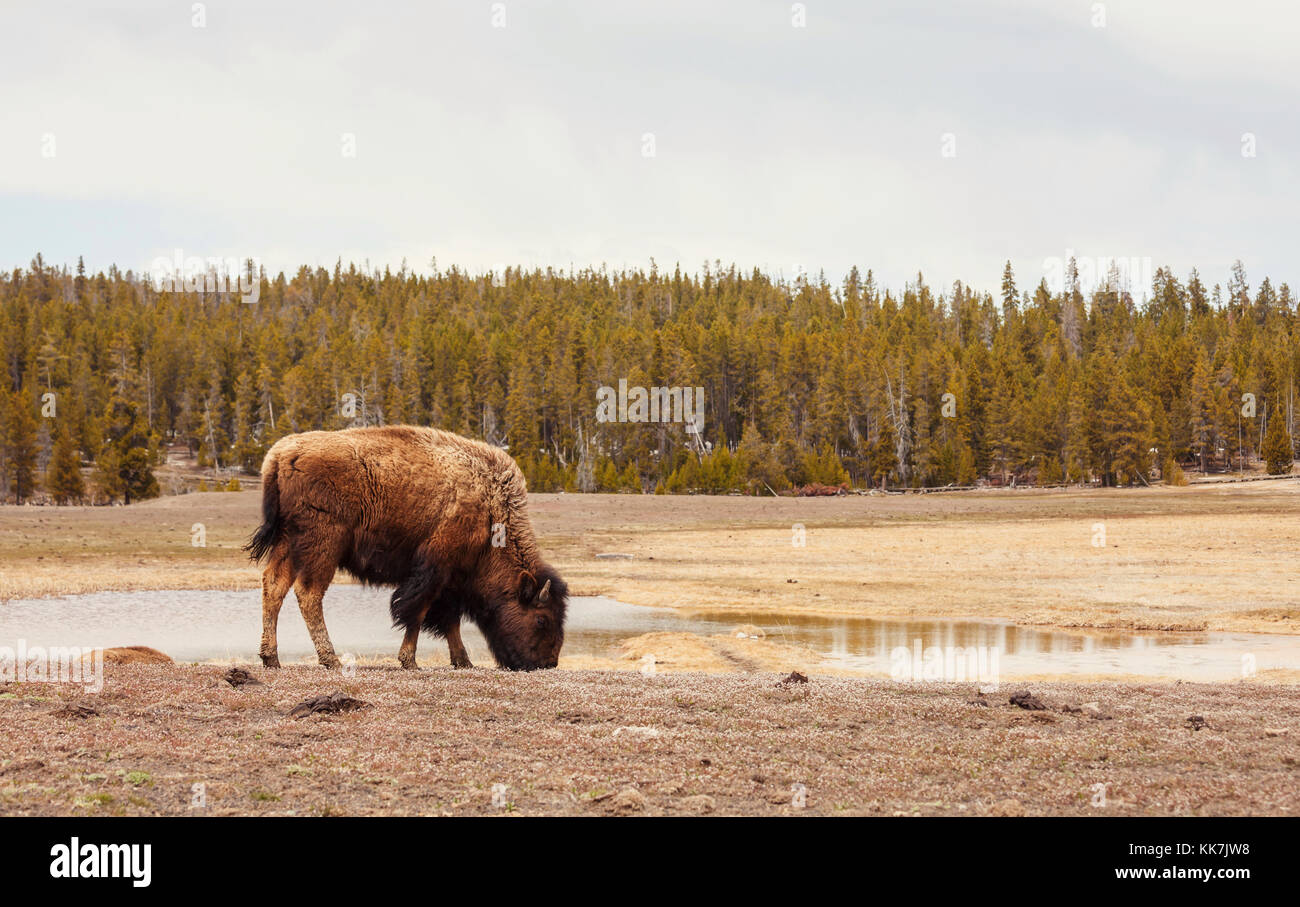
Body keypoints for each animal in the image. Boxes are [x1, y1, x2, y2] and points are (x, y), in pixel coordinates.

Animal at [244, 426, 568, 671]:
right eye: (542, 619)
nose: (548, 663)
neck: (490, 508)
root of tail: (280, 455)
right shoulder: (434, 570)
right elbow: (417, 612)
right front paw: (410, 661)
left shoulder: (452, 580)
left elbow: (449, 621)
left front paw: (463, 661)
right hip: (324, 545)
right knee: (309, 593)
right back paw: (331, 659)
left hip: (288, 542)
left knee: (274, 585)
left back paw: (271, 658)